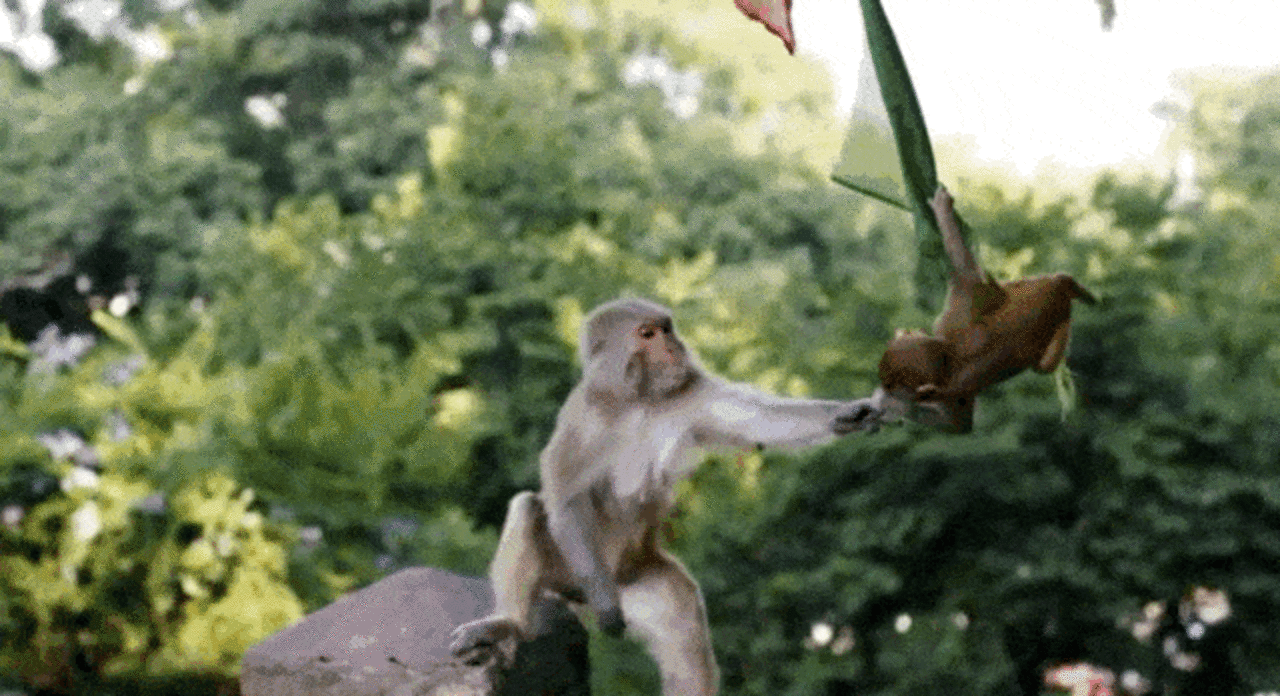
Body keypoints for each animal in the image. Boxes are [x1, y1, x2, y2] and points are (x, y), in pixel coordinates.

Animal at [449, 297, 880, 695]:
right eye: (647, 334)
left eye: (667, 329)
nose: (675, 345)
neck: (638, 399)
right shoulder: (580, 415)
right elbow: (566, 498)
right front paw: (604, 603)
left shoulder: (692, 391)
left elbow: (763, 420)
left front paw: (846, 415)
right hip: (566, 571)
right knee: (528, 508)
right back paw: (511, 623)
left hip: (648, 585)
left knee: (686, 644)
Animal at [871, 186, 1097, 433]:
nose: (888, 390)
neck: (949, 358)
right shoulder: (950, 388)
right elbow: (959, 424)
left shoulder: (954, 313)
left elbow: (964, 270)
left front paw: (942, 209)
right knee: (1042, 361)